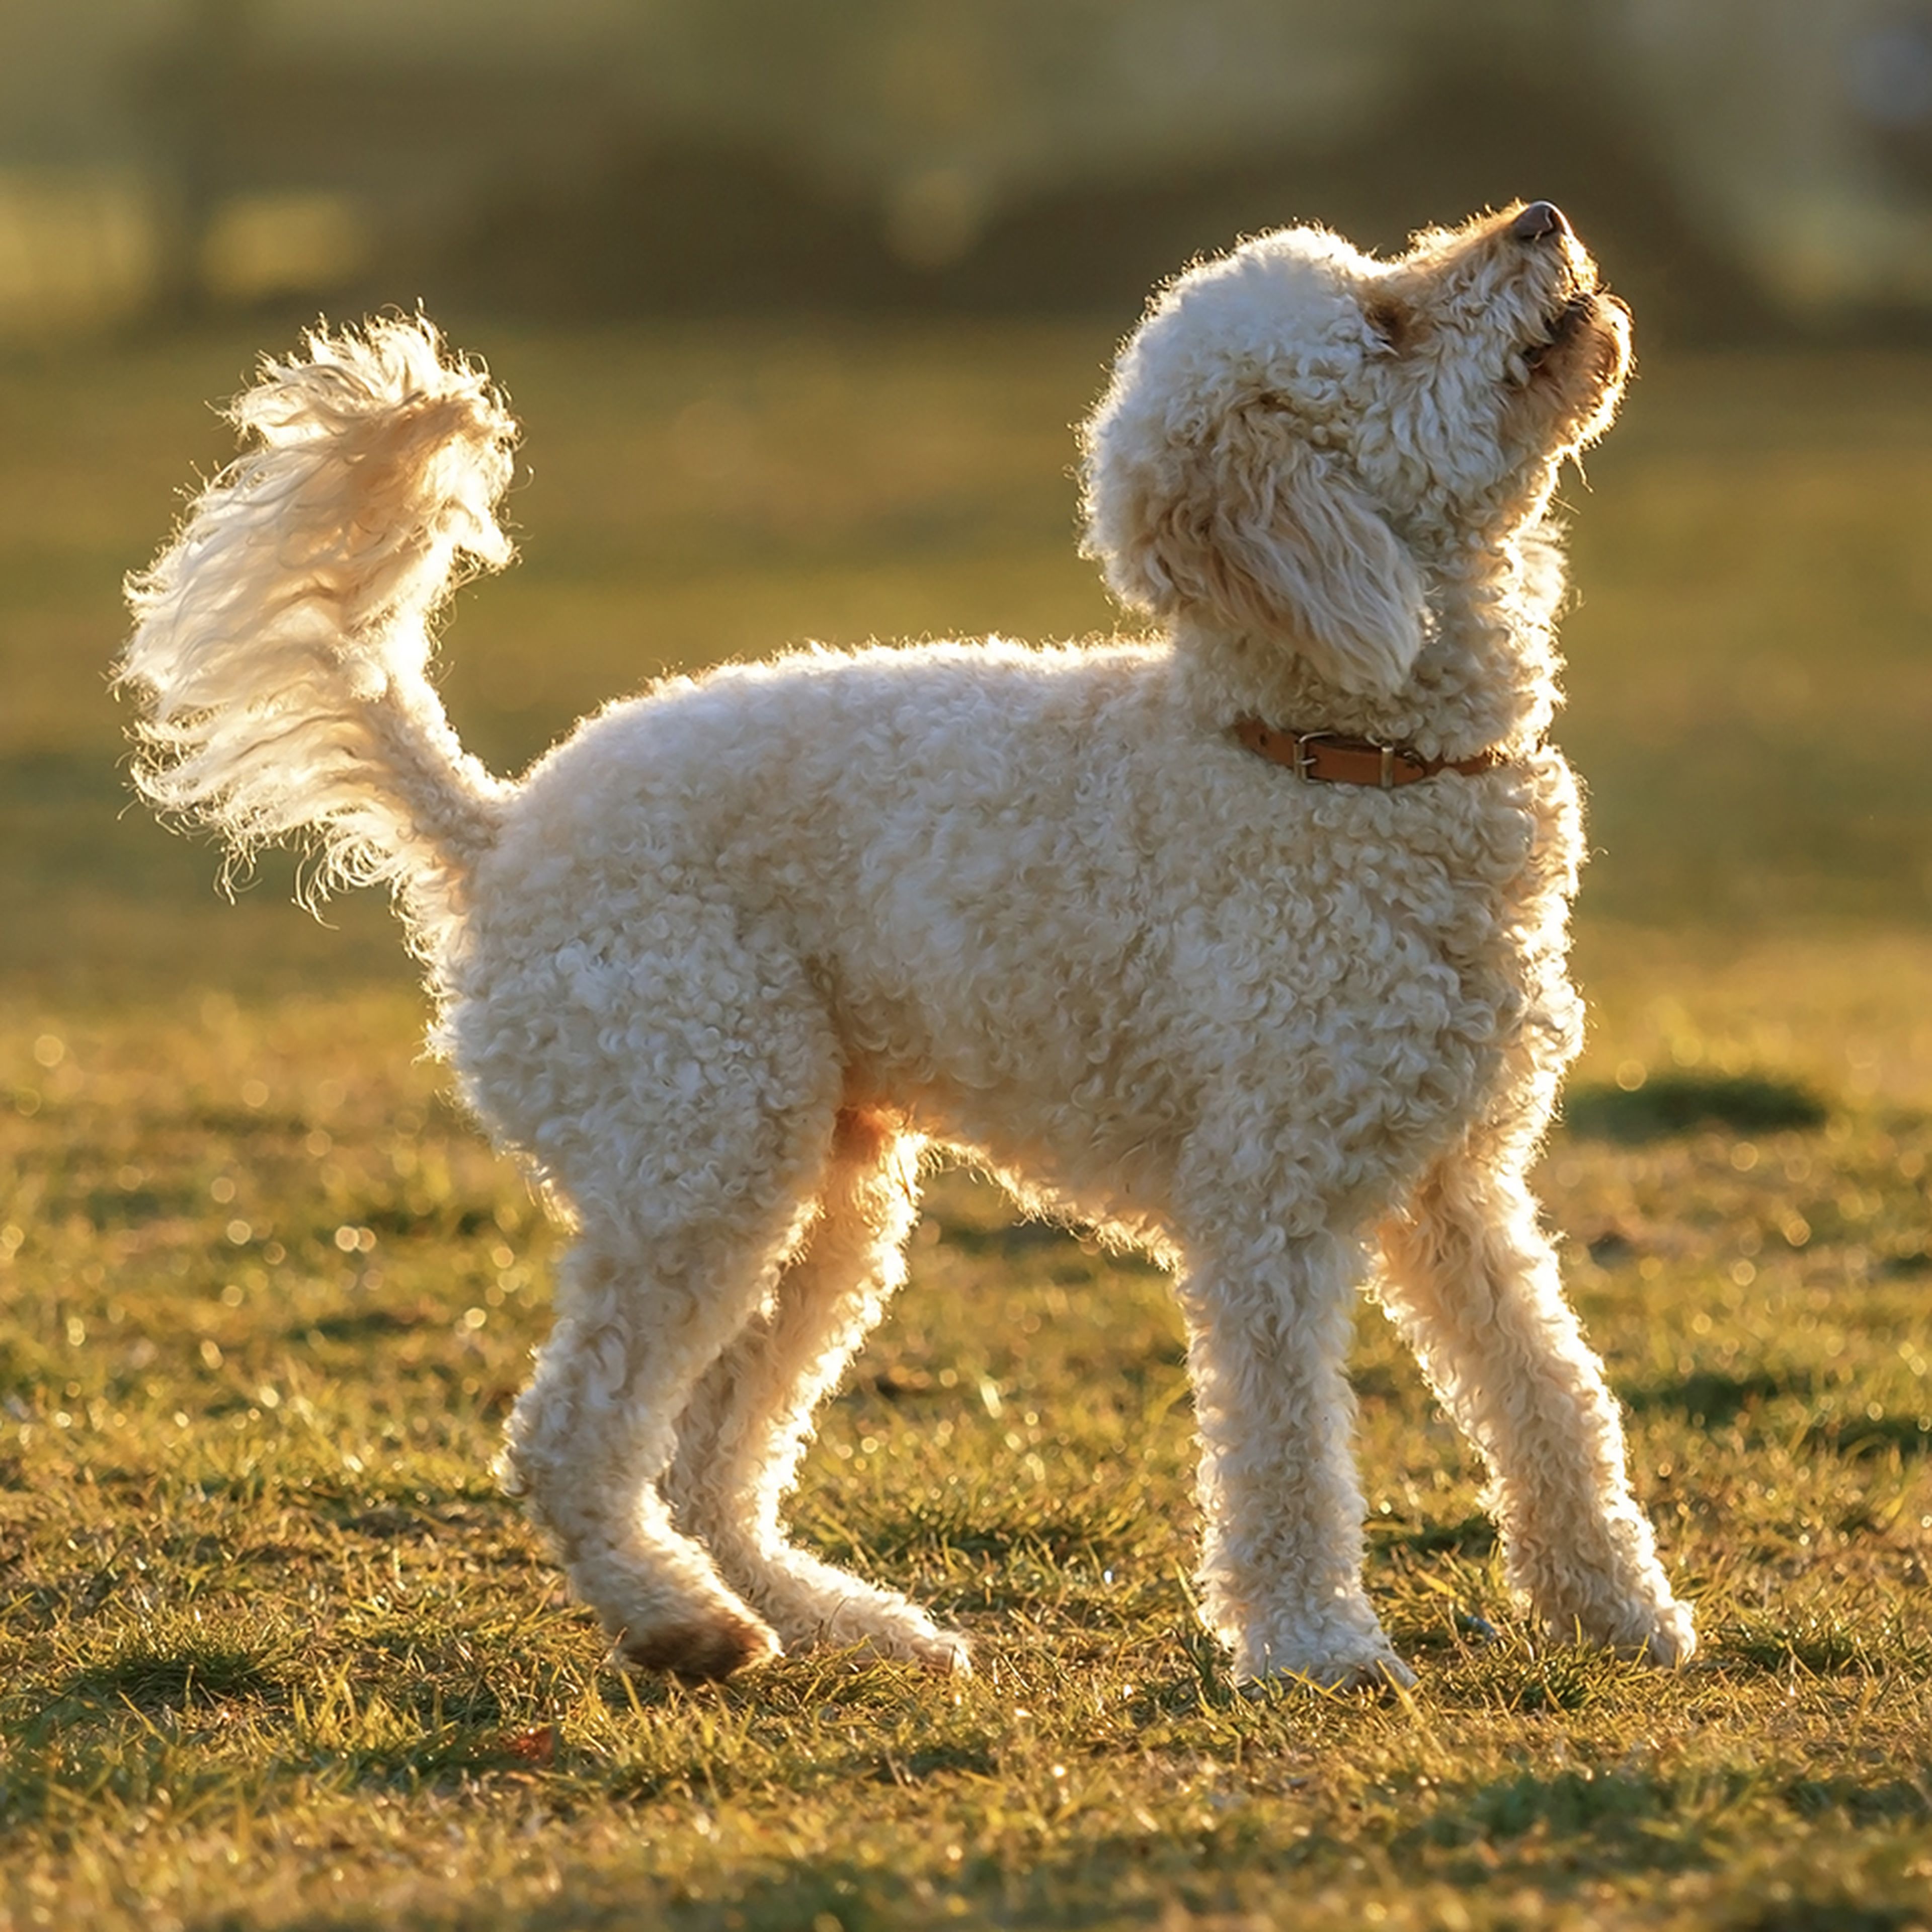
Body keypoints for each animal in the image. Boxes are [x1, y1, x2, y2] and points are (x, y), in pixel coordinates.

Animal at [121, 200, 1692, 1692]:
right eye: (1383, 322)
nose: (1543, 217)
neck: (1331, 754)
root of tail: (495, 833)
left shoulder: (1459, 1181)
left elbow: (1552, 1399)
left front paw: (1615, 1610)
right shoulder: (1268, 1208)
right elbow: (1287, 1449)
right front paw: (1315, 1645)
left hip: (826, 1188)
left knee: (706, 1462)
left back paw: (843, 1625)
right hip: (700, 1151)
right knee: (572, 1438)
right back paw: (679, 1625)